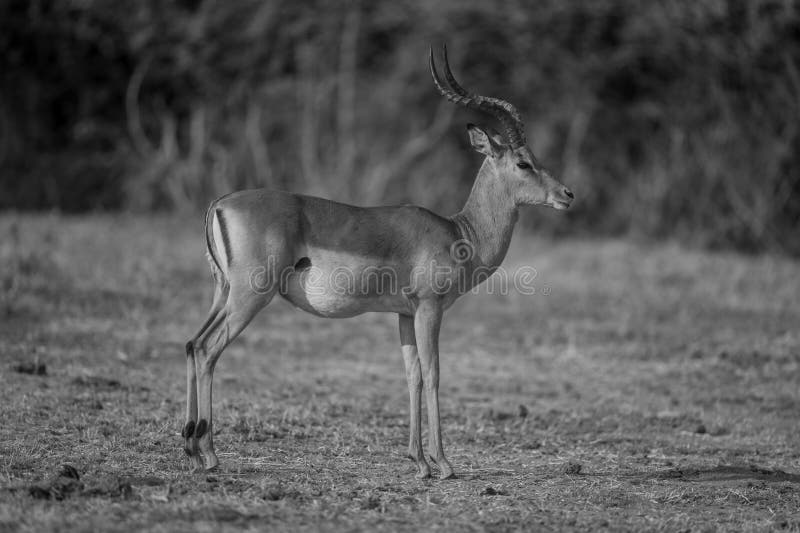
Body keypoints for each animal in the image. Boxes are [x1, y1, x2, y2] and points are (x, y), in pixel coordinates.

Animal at [182, 45, 574, 479]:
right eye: (524, 163)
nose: (567, 194)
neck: (461, 233)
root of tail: (219, 203)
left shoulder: (403, 314)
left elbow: (412, 375)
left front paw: (418, 461)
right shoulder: (429, 308)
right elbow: (434, 374)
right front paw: (443, 464)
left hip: (223, 293)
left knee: (192, 343)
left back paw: (191, 449)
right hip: (250, 297)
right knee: (208, 349)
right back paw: (210, 455)